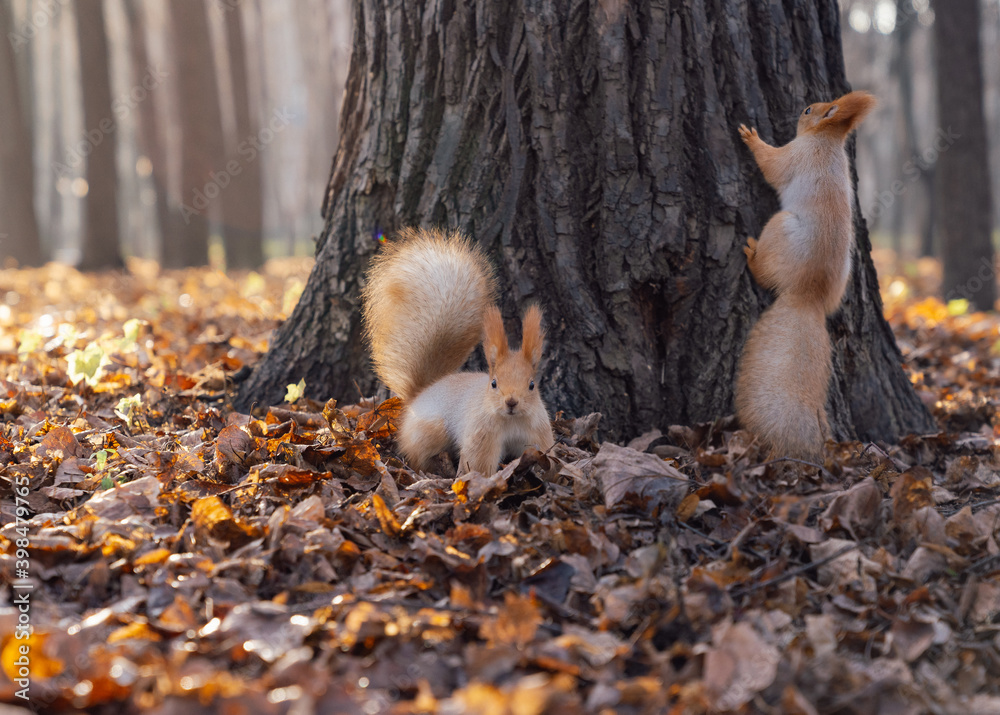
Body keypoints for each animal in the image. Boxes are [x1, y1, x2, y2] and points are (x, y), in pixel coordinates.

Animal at [361, 227, 555, 475]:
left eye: (532, 385)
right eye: (494, 383)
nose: (511, 402)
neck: (511, 421)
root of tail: (421, 394)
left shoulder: (538, 435)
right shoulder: (482, 435)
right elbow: (478, 466)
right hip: (432, 431)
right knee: (417, 455)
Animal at [734, 90, 877, 459]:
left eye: (809, 110)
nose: (802, 107)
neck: (827, 140)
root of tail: (809, 295)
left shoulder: (795, 155)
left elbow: (772, 165)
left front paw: (751, 137)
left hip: (778, 227)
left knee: (763, 272)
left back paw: (751, 254)